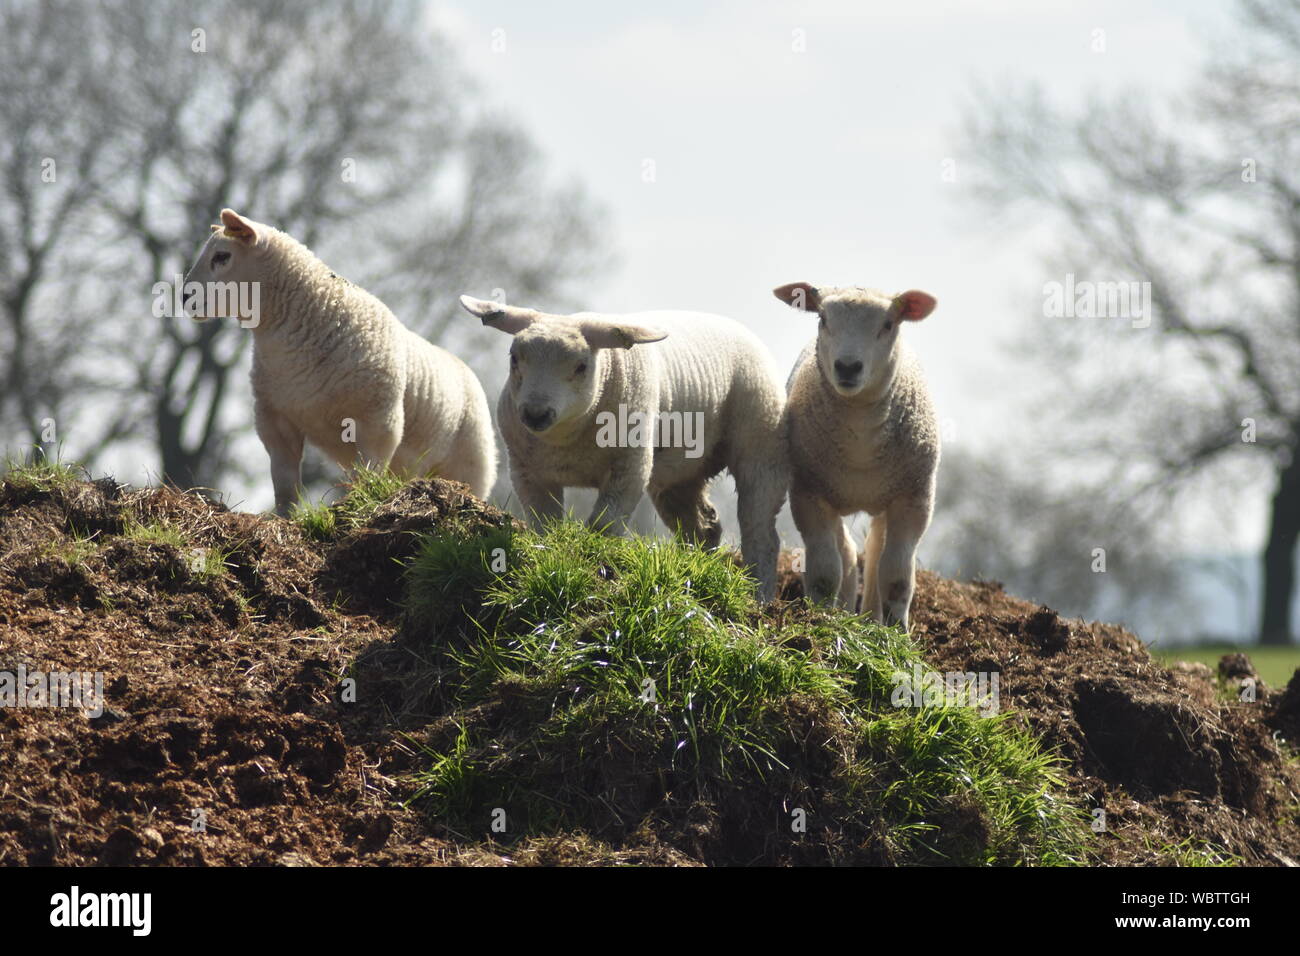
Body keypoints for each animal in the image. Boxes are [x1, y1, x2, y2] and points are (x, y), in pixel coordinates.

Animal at [182, 209, 496, 514]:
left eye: (222, 256)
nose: (185, 296)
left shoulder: (378, 421)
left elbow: (367, 474)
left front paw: (358, 505)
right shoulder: (275, 419)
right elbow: (285, 484)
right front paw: (283, 517)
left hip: (471, 464)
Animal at [458, 294, 788, 601]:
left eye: (581, 366)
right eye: (514, 358)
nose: (535, 414)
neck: (564, 441)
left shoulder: (631, 465)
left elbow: (602, 524)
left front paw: (596, 561)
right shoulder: (526, 472)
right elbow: (545, 525)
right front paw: (548, 554)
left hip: (761, 443)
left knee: (760, 531)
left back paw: (760, 596)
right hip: (679, 473)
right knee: (703, 526)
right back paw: (697, 565)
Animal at [774, 282, 939, 629]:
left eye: (888, 324)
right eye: (823, 318)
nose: (848, 367)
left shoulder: (915, 497)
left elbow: (897, 575)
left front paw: (896, 633)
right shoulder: (808, 493)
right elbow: (825, 570)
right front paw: (820, 618)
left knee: (876, 553)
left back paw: (871, 619)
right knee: (848, 553)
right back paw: (845, 612)